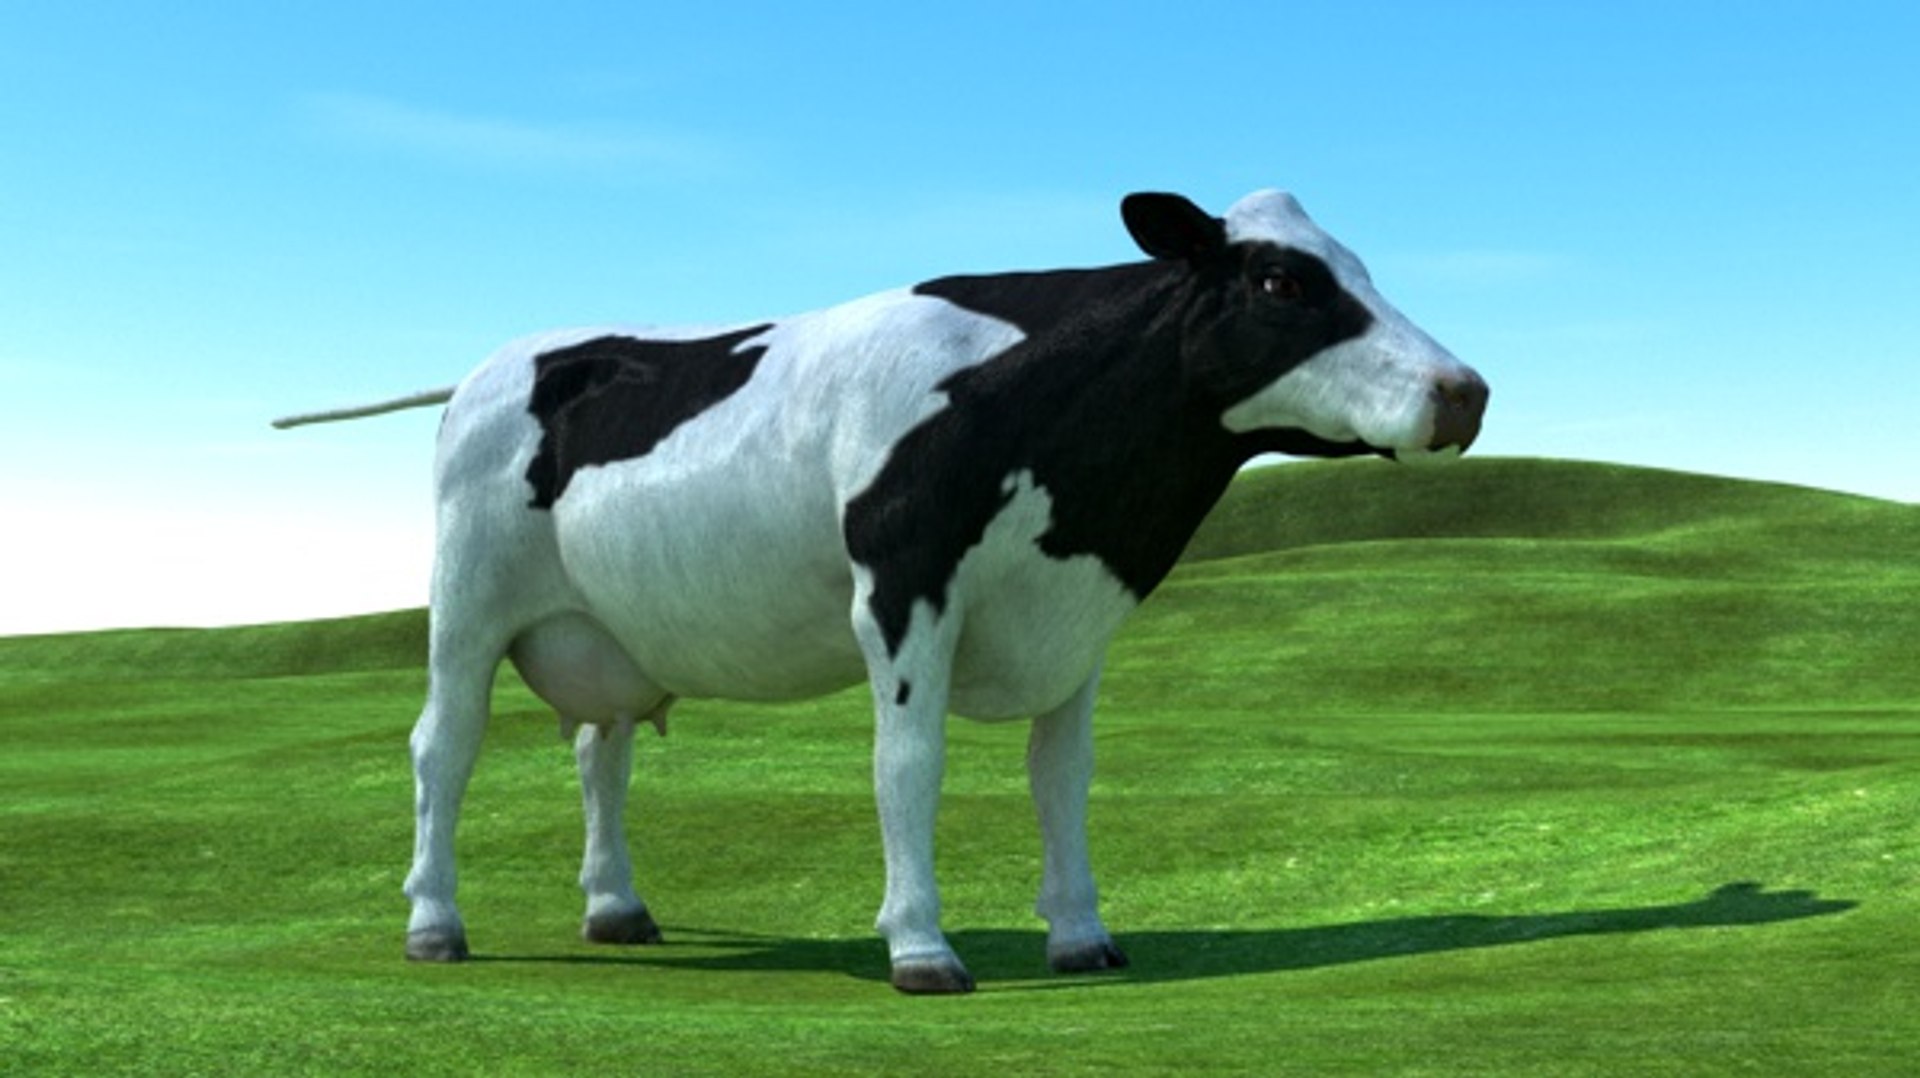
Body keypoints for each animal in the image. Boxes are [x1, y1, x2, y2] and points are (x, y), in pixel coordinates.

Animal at [276, 189, 1488, 993]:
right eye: (1283, 281)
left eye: (1360, 266)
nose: (1465, 390)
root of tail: (505, 357)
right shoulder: (903, 590)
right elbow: (908, 766)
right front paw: (922, 946)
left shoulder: (1077, 622)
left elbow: (1064, 780)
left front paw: (1082, 937)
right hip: (469, 598)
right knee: (443, 748)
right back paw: (435, 924)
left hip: (612, 627)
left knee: (598, 750)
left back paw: (616, 908)